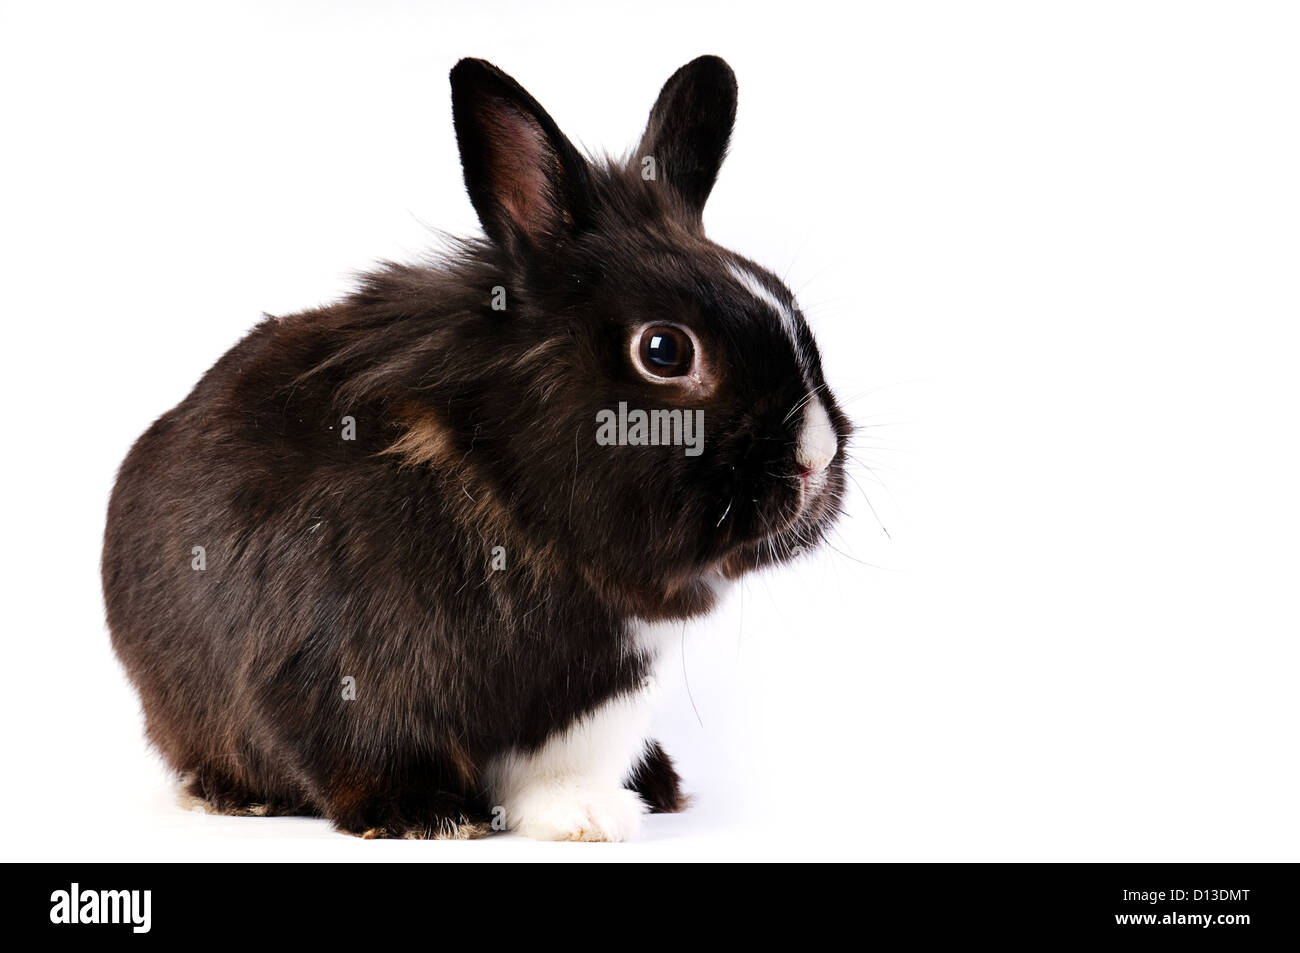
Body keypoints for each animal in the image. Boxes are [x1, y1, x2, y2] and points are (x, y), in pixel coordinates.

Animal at [101, 55, 849, 841]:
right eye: (664, 350)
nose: (816, 459)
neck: (508, 487)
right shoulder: (338, 676)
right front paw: (429, 816)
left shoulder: (605, 693)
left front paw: (589, 812)